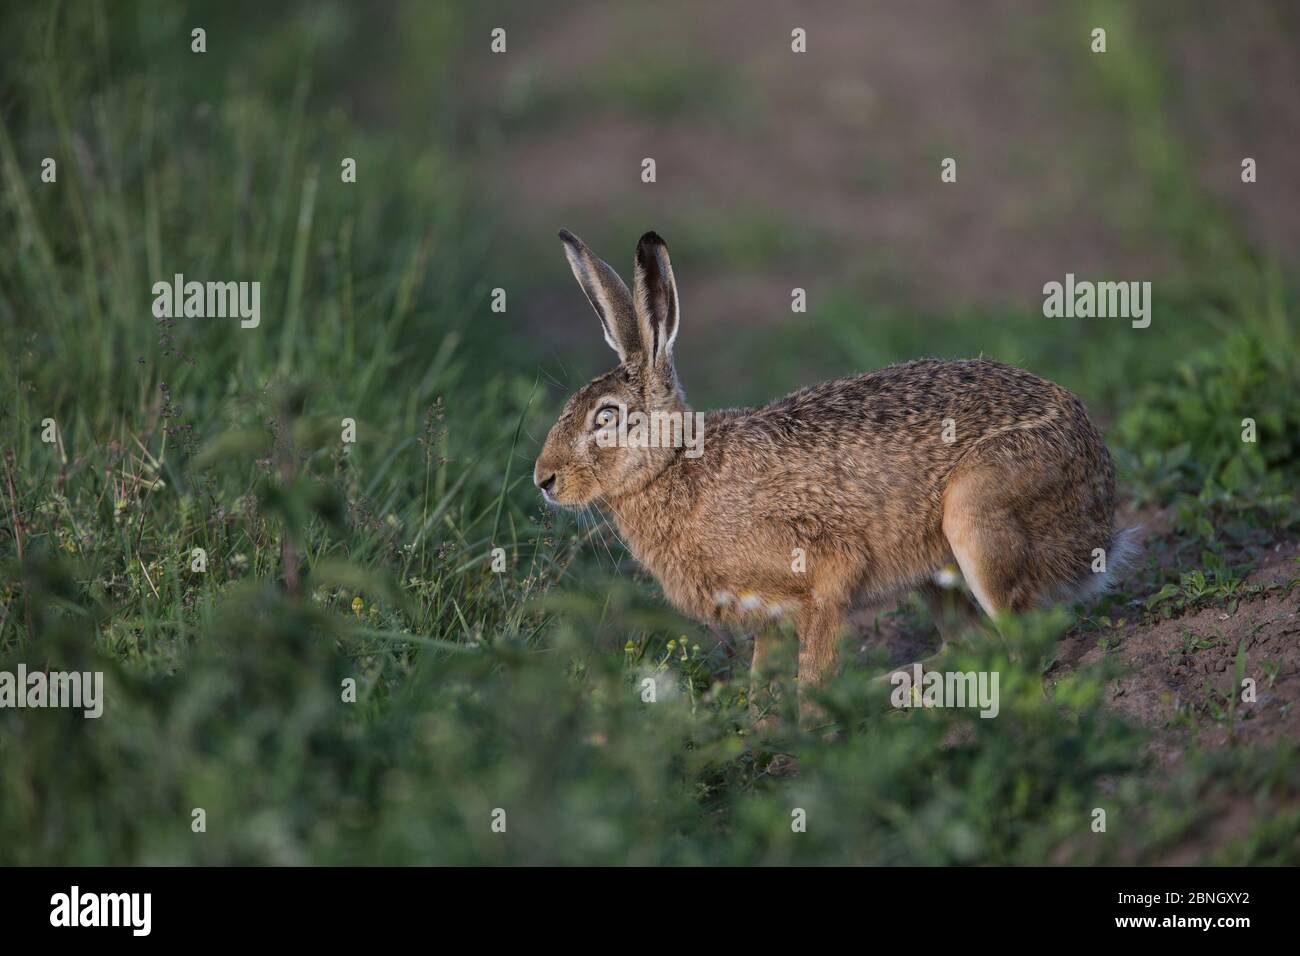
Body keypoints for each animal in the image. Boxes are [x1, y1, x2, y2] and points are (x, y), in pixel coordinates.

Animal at [534, 229, 1139, 716]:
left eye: (607, 417)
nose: (544, 480)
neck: (677, 467)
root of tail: (1101, 515)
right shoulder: (769, 613)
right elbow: (762, 681)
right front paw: (758, 730)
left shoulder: (826, 572)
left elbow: (812, 677)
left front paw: (810, 729)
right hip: (935, 573)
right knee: (970, 645)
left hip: (978, 513)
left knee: (1022, 650)